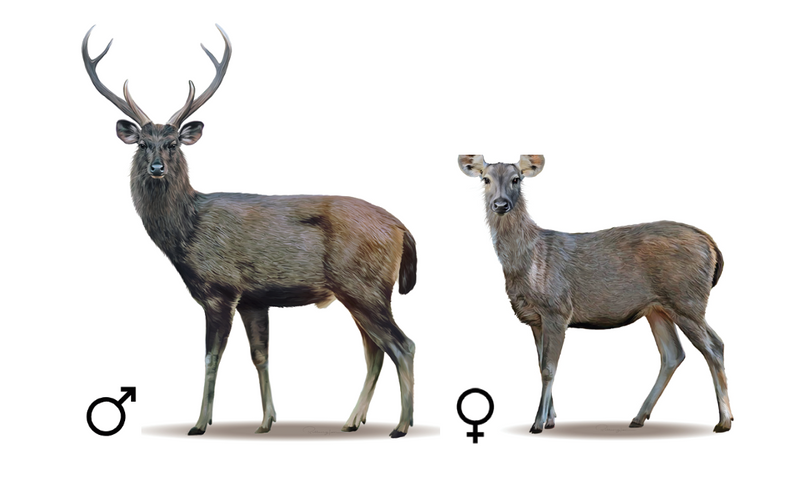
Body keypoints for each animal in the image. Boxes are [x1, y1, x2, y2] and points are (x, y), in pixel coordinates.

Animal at [81, 25, 417, 438]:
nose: (156, 167)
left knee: (402, 345)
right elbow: (261, 356)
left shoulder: (220, 290)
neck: (187, 233)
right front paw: (267, 420)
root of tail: (402, 228)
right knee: (375, 351)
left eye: (173, 143)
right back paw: (353, 420)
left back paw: (401, 425)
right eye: (143, 143)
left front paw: (200, 423)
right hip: (358, 292)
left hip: (365, 286)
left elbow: (211, 357)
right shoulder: (255, 299)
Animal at [458, 154, 732, 434]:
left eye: (516, 179)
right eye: (486, 179)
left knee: (714, 346)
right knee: (673, 354)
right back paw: (639, 417)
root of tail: (711, 245)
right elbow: (540, 364)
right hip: (658, 308)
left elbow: (548, 368)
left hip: (687, 299)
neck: (528, 263)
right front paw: (550, 419)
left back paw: (723, 421)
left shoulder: (557, 309)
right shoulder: (534, 319)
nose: (500, 204)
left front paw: (537, 423)